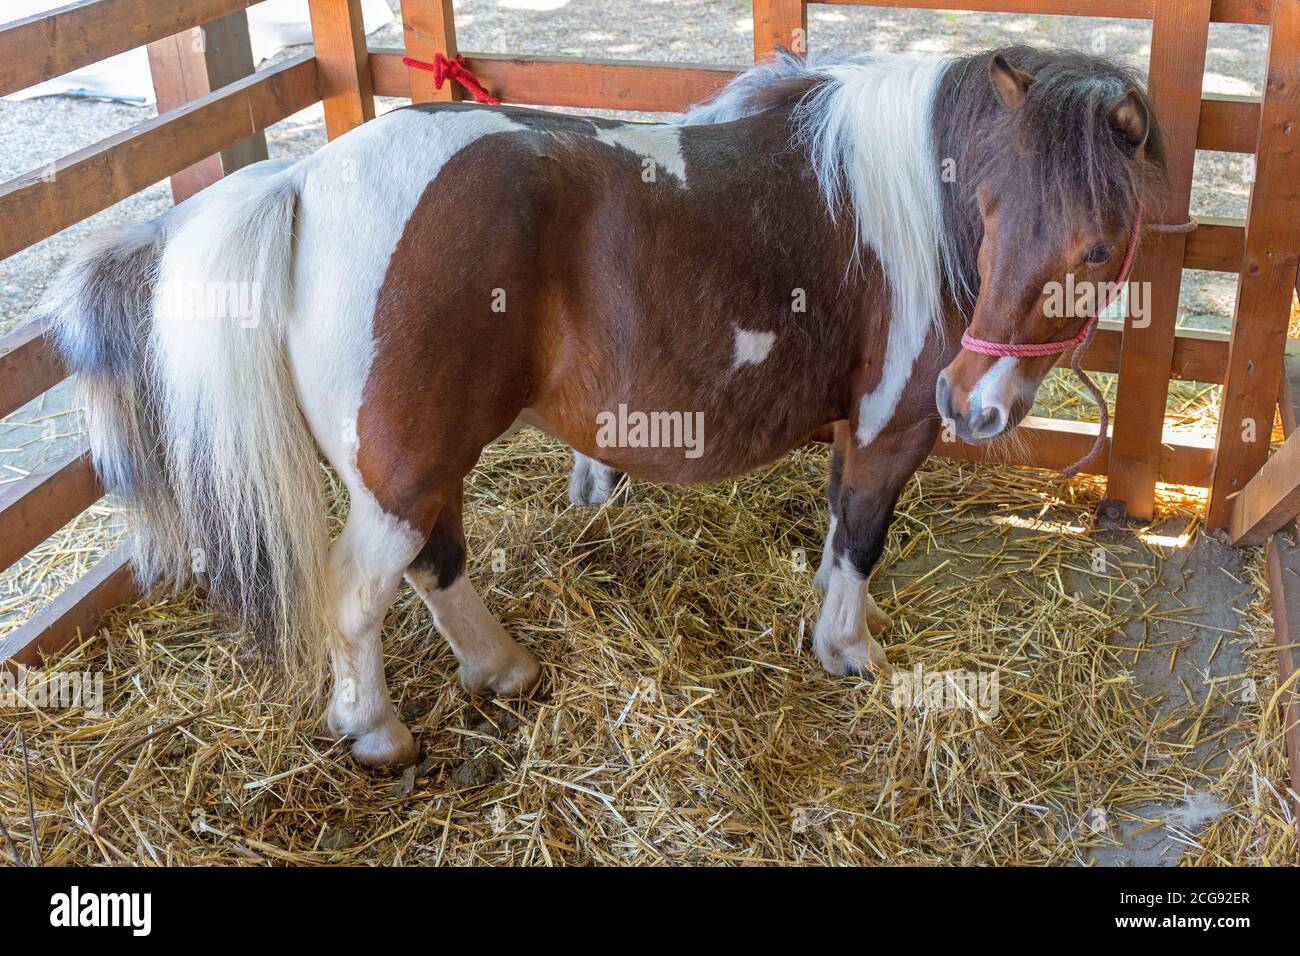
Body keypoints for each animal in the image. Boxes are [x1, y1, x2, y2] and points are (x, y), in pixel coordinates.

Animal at [43, 45, 1166, 768]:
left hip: (420, 464)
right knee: (359, 592)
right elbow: (858, 536)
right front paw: (847, 648)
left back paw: (502, 669)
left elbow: (840, 529)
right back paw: (376, 731)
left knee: (438, 564)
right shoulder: (893, 425)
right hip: (400, 473)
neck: (905, 211)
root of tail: (305, 180)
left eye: (1095, 246)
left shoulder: (871, 425)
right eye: (988, 210)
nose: (975, 404)